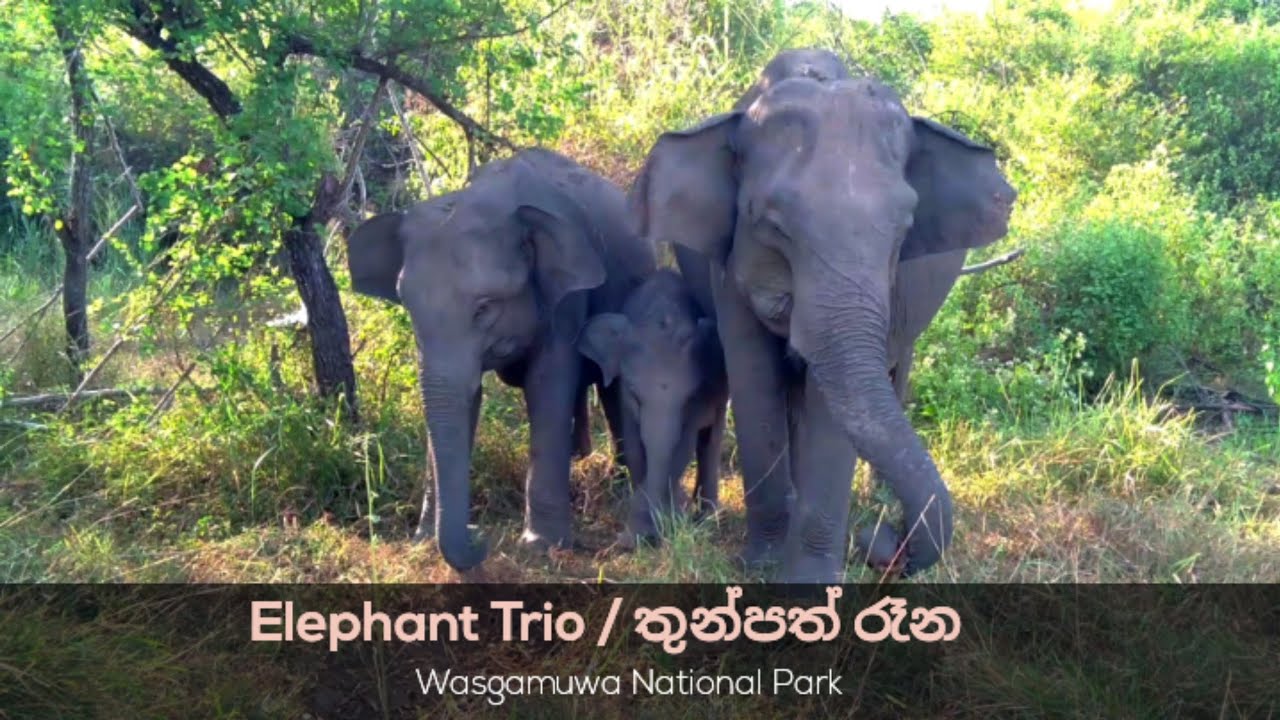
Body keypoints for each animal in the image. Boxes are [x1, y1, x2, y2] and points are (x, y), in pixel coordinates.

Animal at [345, 148, 655, 571]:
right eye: (408, 307)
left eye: (484, 308)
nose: (482, 538)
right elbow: (460, 396)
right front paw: (422, 540)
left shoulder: (565, 297)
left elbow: (549, 384)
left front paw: (542, 545)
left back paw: (621, 485)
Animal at [576, 269, 729, 548]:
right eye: (635, 396)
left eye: (689, 398)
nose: (650, 536)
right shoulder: (622, 394)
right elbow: (634, 444)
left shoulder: (699, 397)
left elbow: (682, 446)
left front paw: (670, 519)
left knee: (710, 441)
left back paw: (707, 519)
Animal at [629, 65, 1016, 582]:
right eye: (774, 225)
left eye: (904, 229)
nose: (883, 540)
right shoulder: (727, 265)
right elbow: (754, 378)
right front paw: (763, 564)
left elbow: (831, 407)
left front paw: (808, 580)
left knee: (897, 369)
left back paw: (872, 498)